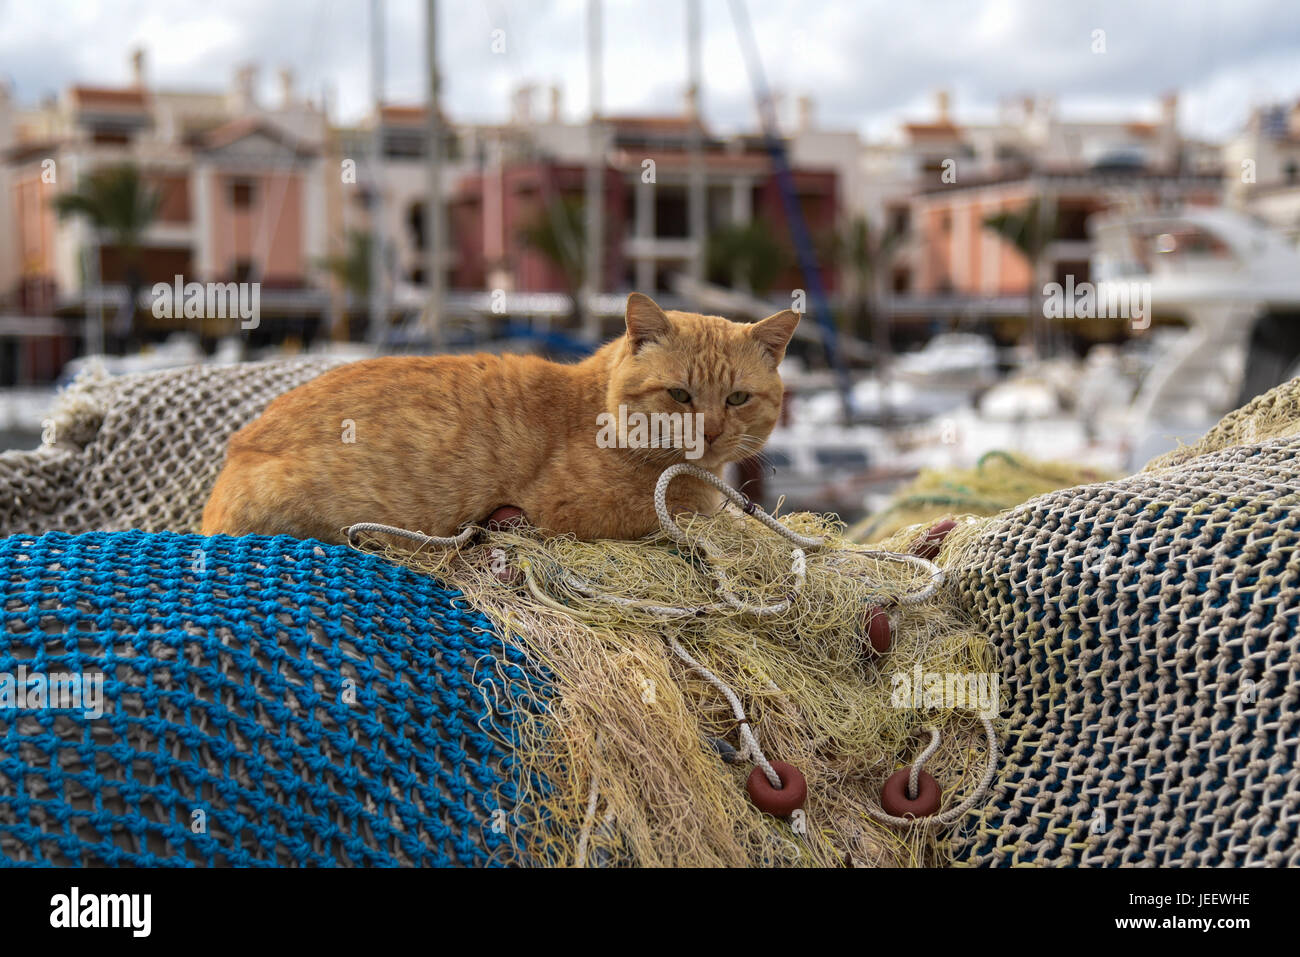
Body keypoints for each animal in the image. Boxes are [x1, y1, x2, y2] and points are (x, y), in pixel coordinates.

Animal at [197, 291, 795, 546]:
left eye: (737, 398)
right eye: (679, 394)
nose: (711, 432)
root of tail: (237, 446)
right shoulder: (575, 511)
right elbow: (694, 515)